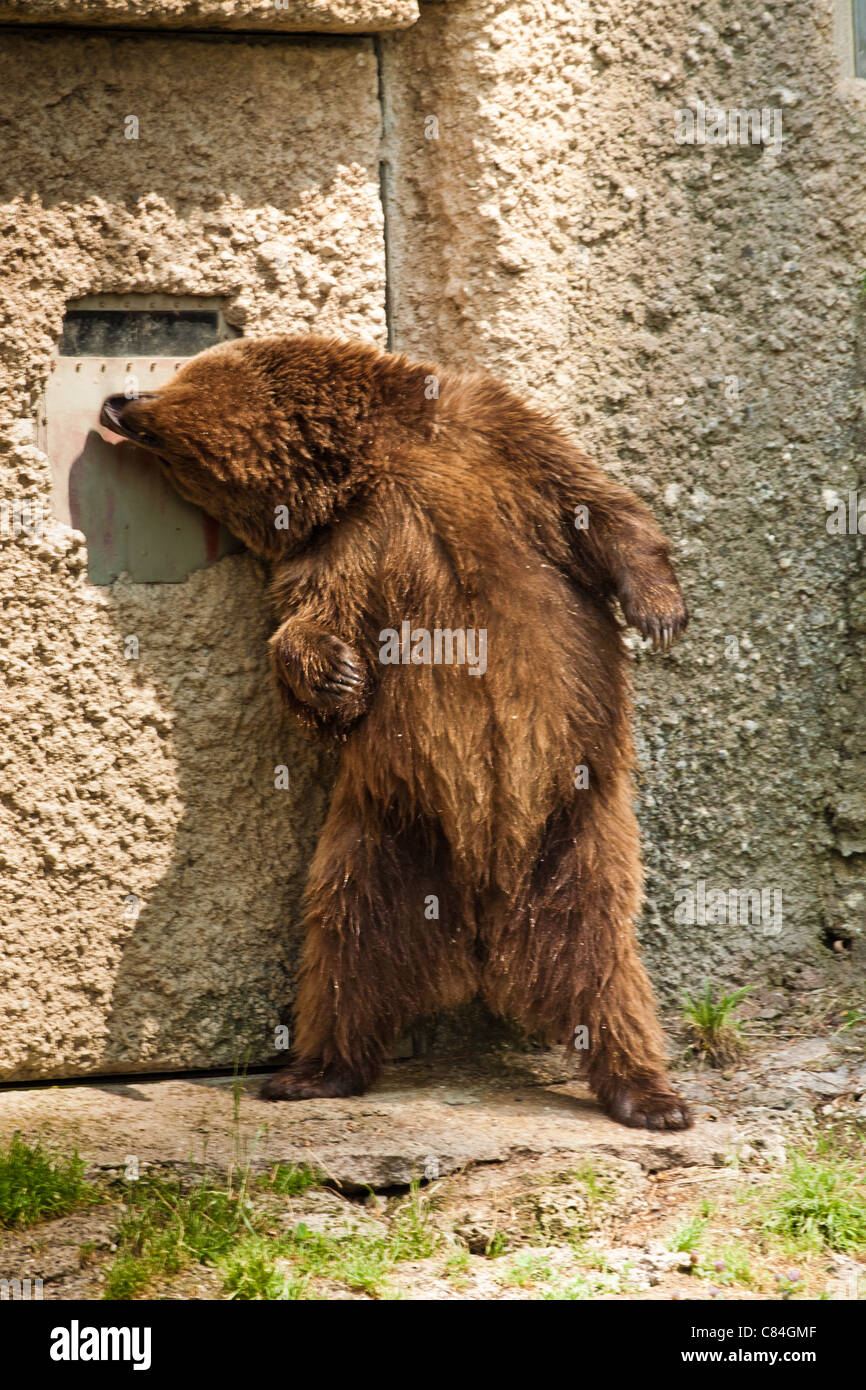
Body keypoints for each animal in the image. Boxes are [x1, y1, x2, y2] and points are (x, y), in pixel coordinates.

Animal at [100, 335, 691, 1131]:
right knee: (345, 949)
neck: (370, 468)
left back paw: (650, 1094)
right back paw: (311, 1071)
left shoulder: (493, 442)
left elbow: (596, 507)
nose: (117, 403)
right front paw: (340, 679)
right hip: (386, 837)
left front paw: (660, 610)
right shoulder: (335, 555)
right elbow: (309, 627)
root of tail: (484, 925)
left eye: (178, 376)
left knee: (606, 963)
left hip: (573, 826)